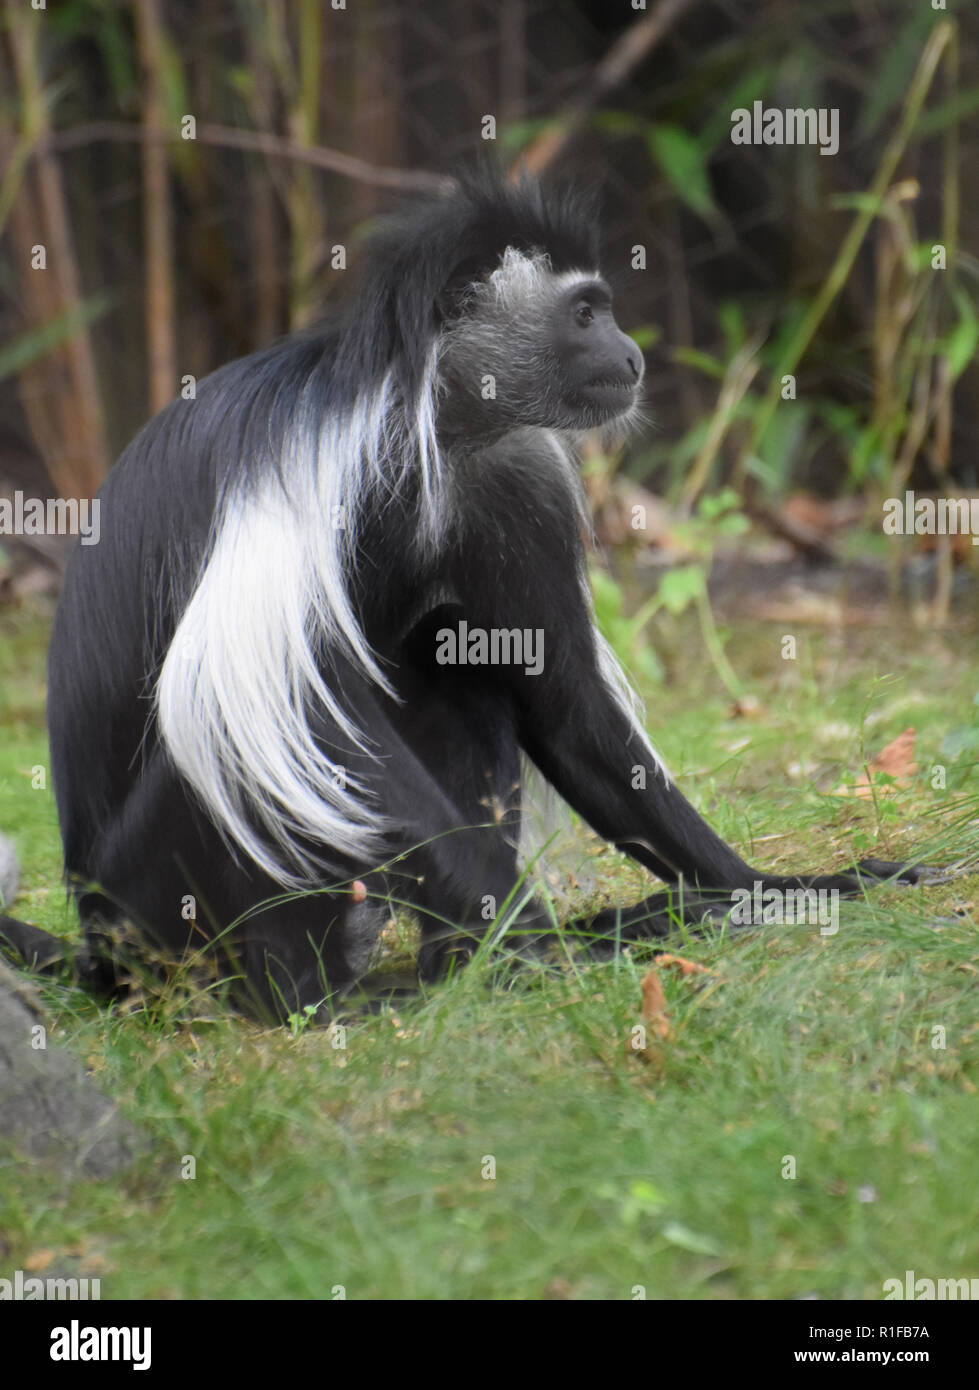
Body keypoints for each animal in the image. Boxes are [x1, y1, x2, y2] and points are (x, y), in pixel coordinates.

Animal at [0, 171, 937, 1020]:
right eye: (586, 312)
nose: (632, 355)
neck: (433, 420)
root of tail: (99, 945)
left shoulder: (516, 469)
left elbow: (565, 704)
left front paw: (772, 889)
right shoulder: (309, 463)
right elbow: (306, 709)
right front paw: (555, 948)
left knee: (457, 665)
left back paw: (462, 963)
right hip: (154, 900)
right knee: (234, 741)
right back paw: (318, 1000)